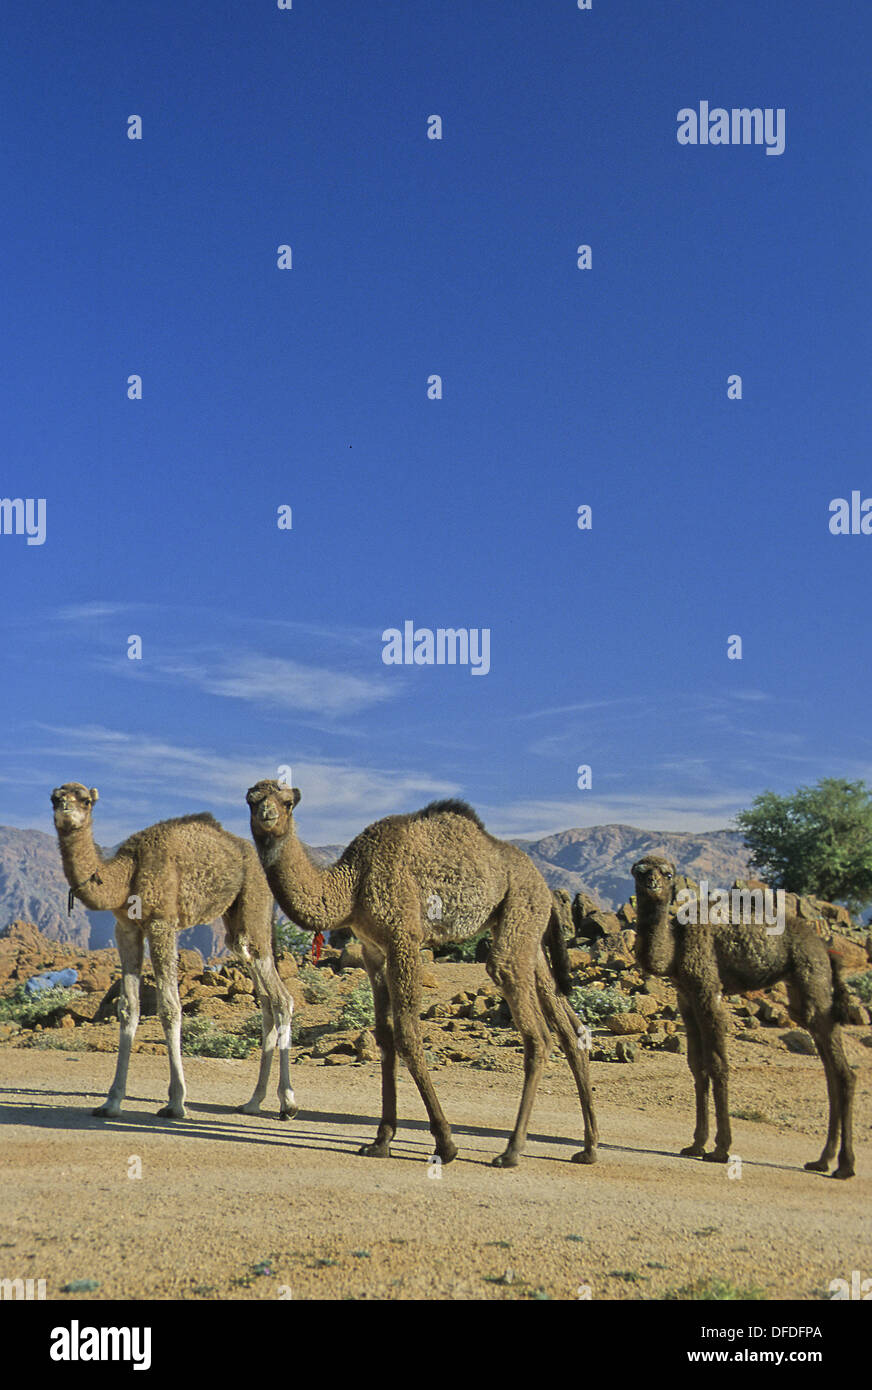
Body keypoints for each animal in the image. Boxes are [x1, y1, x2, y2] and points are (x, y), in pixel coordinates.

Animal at [51, 783, 295, 1121]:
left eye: (86, 801)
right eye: (53, 797)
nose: (64, 806)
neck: (128, 873)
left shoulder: (161, 923)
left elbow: (169, 1008)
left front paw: (176, 1102)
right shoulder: (126, 927)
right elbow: (128, 1008)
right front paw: (111, 1102)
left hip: (255, 902)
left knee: (281, 998)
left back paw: (288, 1103)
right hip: (236, 928)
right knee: (267, 1001)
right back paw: (253, 1101)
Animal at [246, 781, 597, 1168]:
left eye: (287, 802)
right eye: (251, 798)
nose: (267, 814)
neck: (353, 884)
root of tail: (545, 885)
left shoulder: (404, 938)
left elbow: (408, 1035)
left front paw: (445, 1144)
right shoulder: (373, 950)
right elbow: (385, 1036)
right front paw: (381, 1140)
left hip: (517, 914)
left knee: (536, 1031)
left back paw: (511, 1150)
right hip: (529, 936)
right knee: (569, 1028)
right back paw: (588, 1147)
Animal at [632, 854, 856, 1178]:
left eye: (667, 873)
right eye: (639, 871)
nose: (652, 883)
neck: (675, 949)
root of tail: (825, 947)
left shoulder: (708, 990)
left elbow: (717, 1064)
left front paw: (720, 1150)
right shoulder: (685, 997)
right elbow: (696, 1066)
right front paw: (695, 1145)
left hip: (812, 977)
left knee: (842, 1071)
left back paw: (845, 1166)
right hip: (802, 995)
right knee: (830, 1070)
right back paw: (822, 1161)